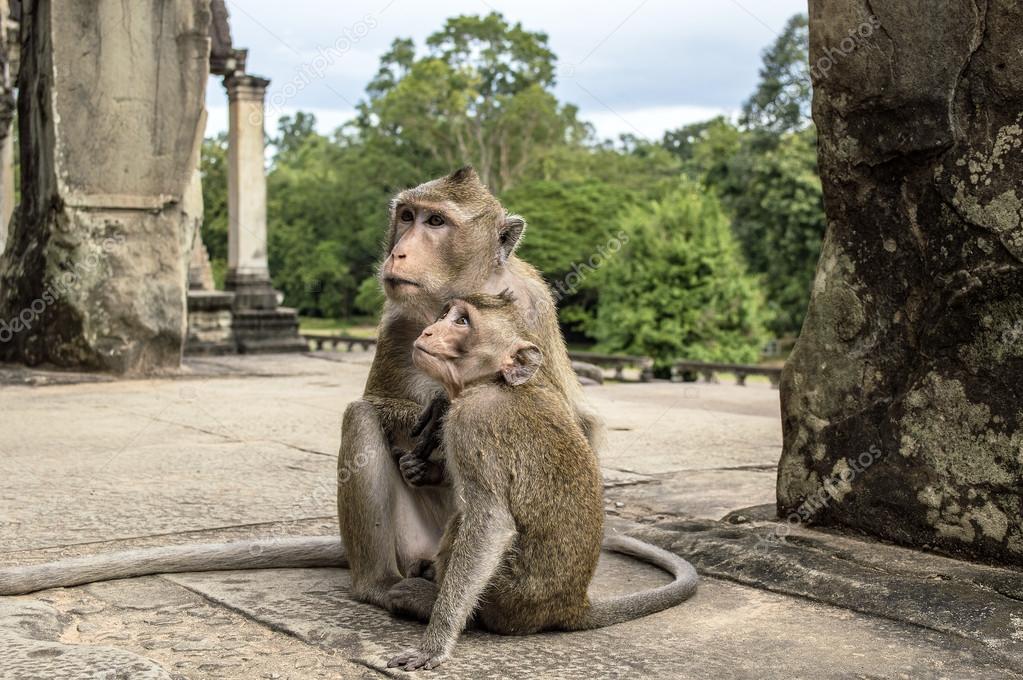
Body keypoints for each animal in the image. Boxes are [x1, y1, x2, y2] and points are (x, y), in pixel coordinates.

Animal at [0, 167, 605, 599]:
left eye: (436, 223)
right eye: (408, 216)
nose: (399, 250)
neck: (460, 294)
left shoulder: (531, 305)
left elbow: (568, 422)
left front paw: (438, 443)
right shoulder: (399, 318)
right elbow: (381, 402)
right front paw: (428, 433)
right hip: (413, 541)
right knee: (359, 418)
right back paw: (380, 586)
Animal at [384, 293, 698, 672]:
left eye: (462, 322)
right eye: (445, 315)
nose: (429, 330)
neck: (492, 381)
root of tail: (571, 604)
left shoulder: (472, 420)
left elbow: (491, 524)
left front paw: (435, 643)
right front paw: (420, 468)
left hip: (509, 597)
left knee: (466, 525)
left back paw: (425, 600)